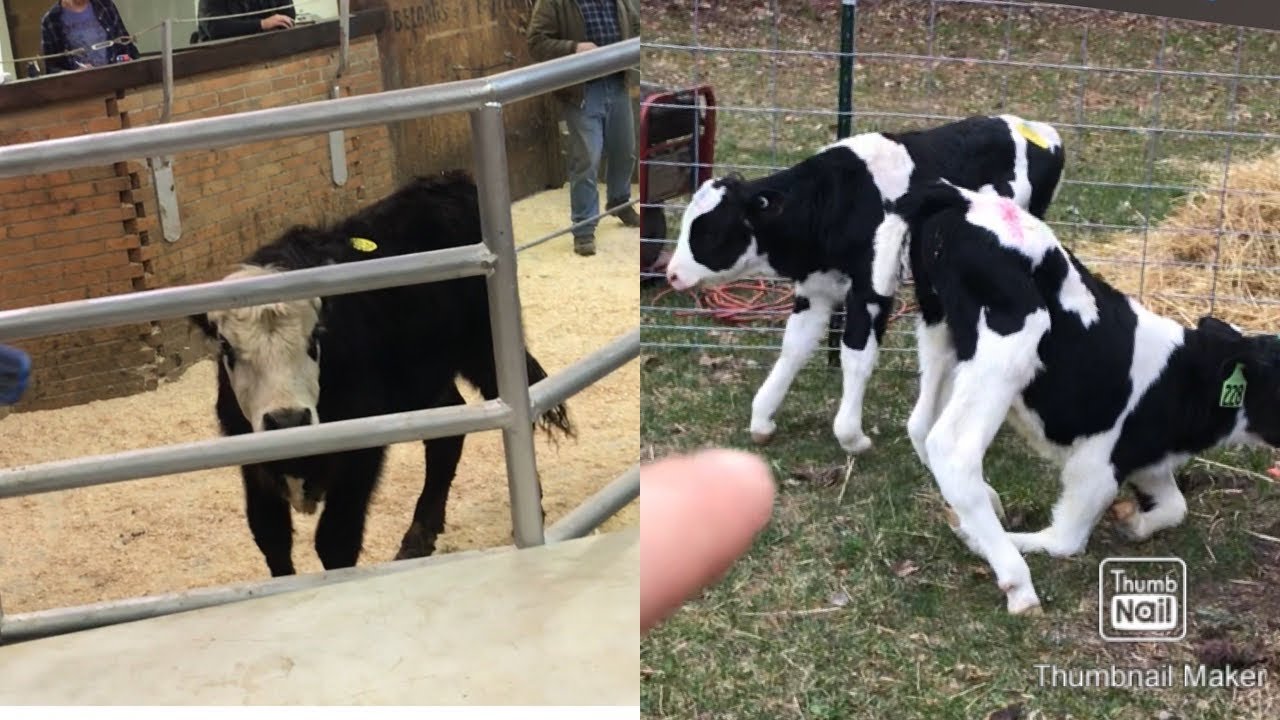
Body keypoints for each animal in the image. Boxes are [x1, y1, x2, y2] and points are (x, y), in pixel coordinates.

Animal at [191, 171, 575, 577]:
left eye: (315, 337)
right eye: (226, 347)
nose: (288, 420)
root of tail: (446, 181)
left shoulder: (361, 452)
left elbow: (336, 540)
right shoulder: (252, 461)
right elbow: (271, 537)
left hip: (486, 352)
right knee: (445, 438)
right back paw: (419, 536)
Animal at [664, 114, 1065, 455]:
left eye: (711, 232)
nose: (672, 273)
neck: (836, 199)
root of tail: (1039, 129)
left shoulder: (872, 290)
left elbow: (856, 354)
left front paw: (852, 437)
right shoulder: (815, 289)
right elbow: (794, 347)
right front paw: (762, 418)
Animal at [881, 179, 1280, 614]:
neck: (1186, 379)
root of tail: (958, 197)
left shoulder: (1143, 457)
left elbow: (1176, 506)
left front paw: (1134, 522)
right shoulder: (1096, 466)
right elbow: (1066, 540)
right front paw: (992, 543)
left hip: (941, 330)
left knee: (922, 424)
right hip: (1013, 336)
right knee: (953, 446)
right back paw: (1016, 579)